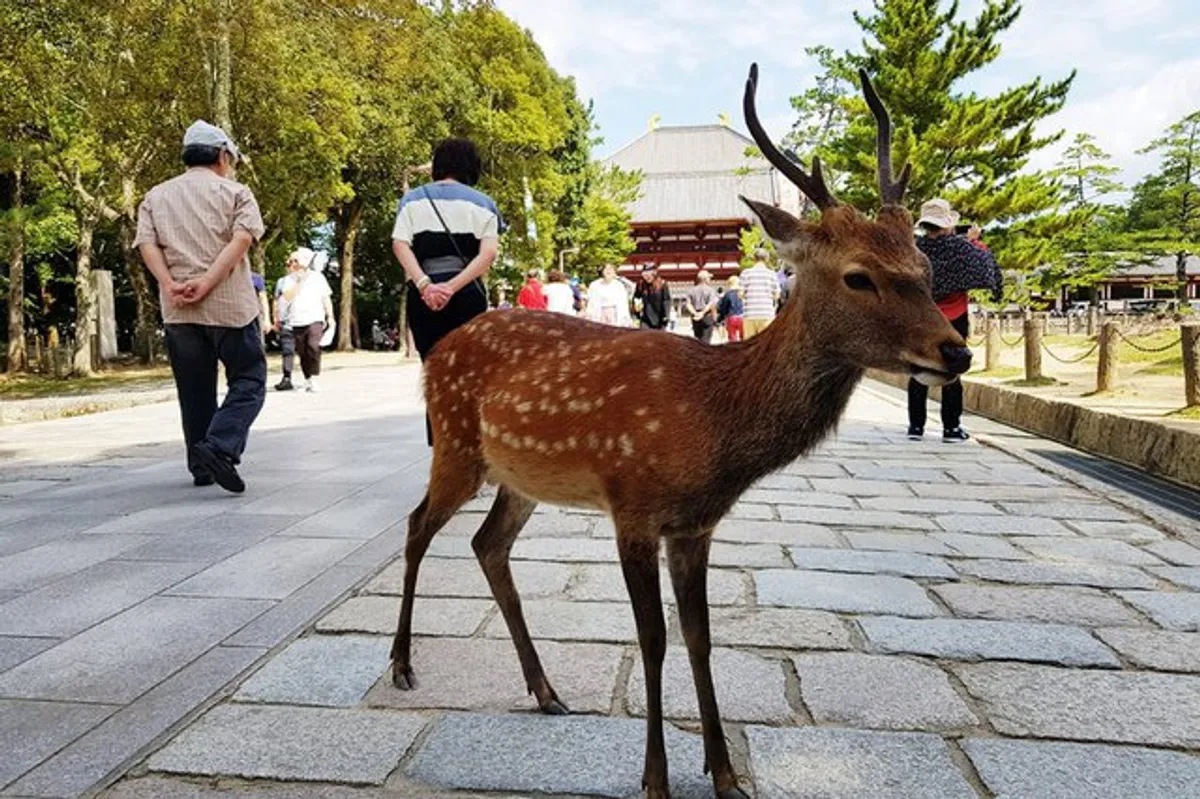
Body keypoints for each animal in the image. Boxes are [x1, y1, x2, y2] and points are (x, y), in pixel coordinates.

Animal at [389, 63, 972, 799]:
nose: (957, 351)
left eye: (925, 270)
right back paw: (402, 665)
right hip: (457, 444)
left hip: (518, 476)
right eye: (858, 276)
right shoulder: (633, 506)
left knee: (487, 544)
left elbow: (701, 637)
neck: (712, 420)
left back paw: (545, 690)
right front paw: (656, 778)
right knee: (417, 526)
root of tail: (441, 346)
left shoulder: (695, 525)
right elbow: (654, 639)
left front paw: (724, 772)